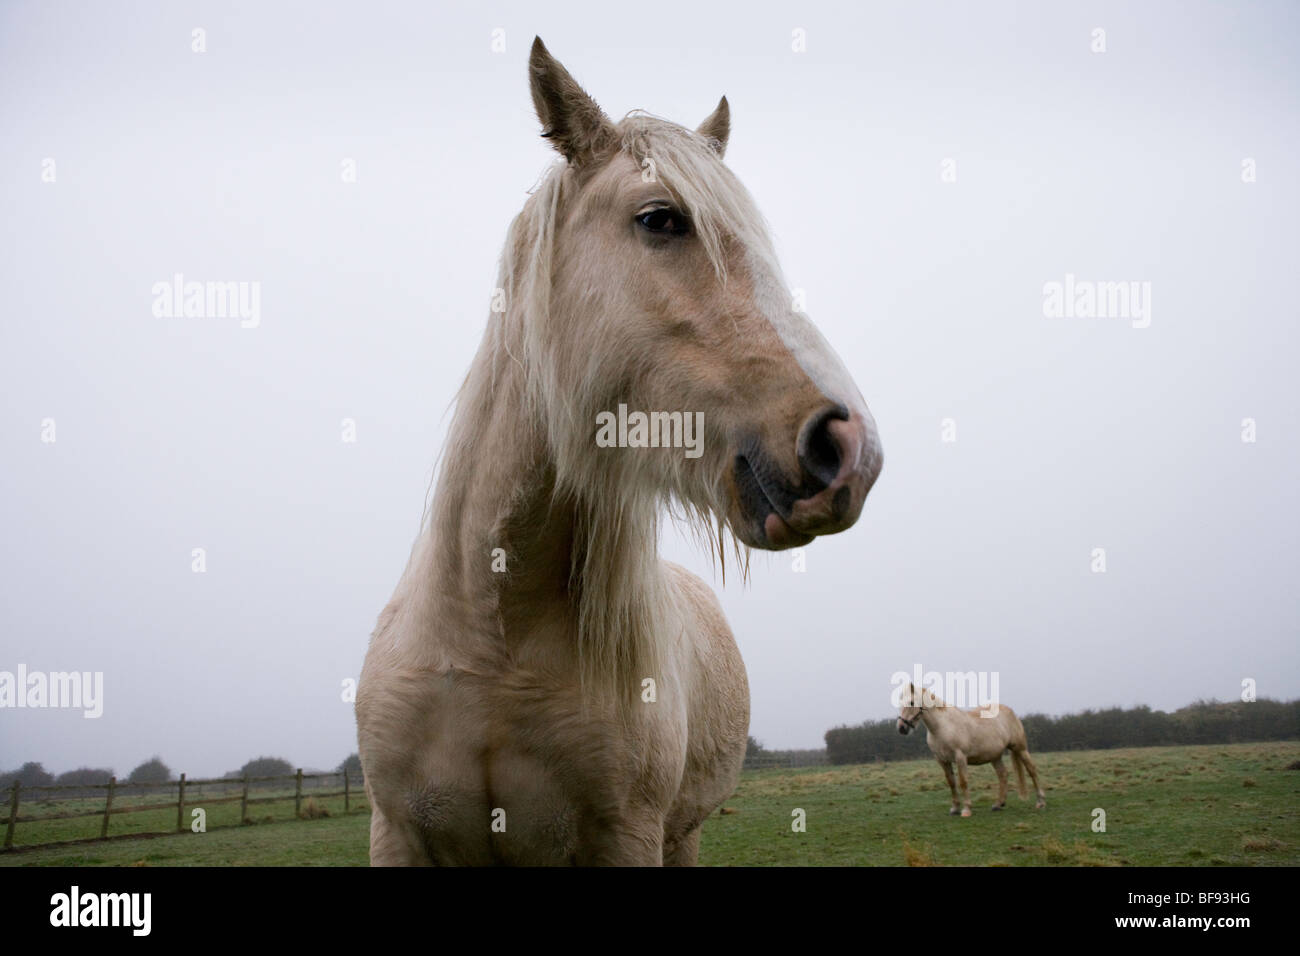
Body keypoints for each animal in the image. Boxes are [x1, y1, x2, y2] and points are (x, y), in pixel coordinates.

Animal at [355, 37, 882, 865]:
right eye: (660, 218)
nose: (849, 446)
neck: (492, 636)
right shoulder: (396, 831)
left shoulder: (627, 834)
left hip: (682, 833)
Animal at [896, 682, 1046, 817]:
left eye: (911, 702)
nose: (902, 728)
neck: (943, 726)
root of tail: (1010, 712)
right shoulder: (942, 760)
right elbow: (951, 783)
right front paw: (955, 808)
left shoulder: (960, 757)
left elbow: (963, 781)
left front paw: (966, 809)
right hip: (995, 756)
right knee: (1003, 775)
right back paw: (998, 804)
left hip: (1020, 749)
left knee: (1031, 770)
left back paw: (1040, 802)